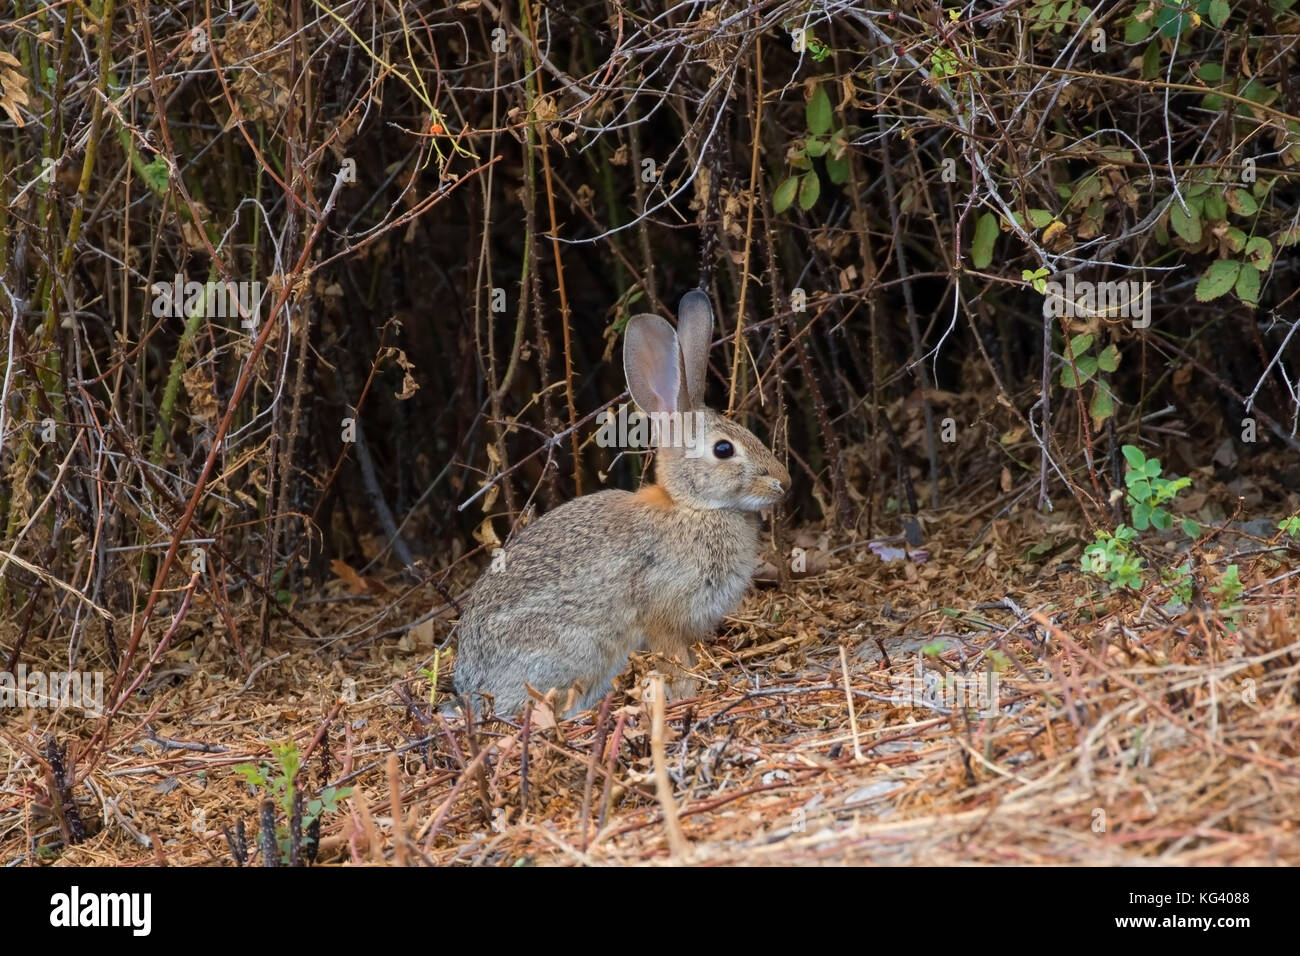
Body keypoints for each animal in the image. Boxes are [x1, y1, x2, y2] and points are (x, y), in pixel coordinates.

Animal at [451, 290, 790, 718]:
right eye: (724, 450)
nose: (784, 483)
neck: (692, 508)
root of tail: (473, 692)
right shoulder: (663, 614)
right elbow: (676, 659)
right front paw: (688, 691)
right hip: (578, 650)